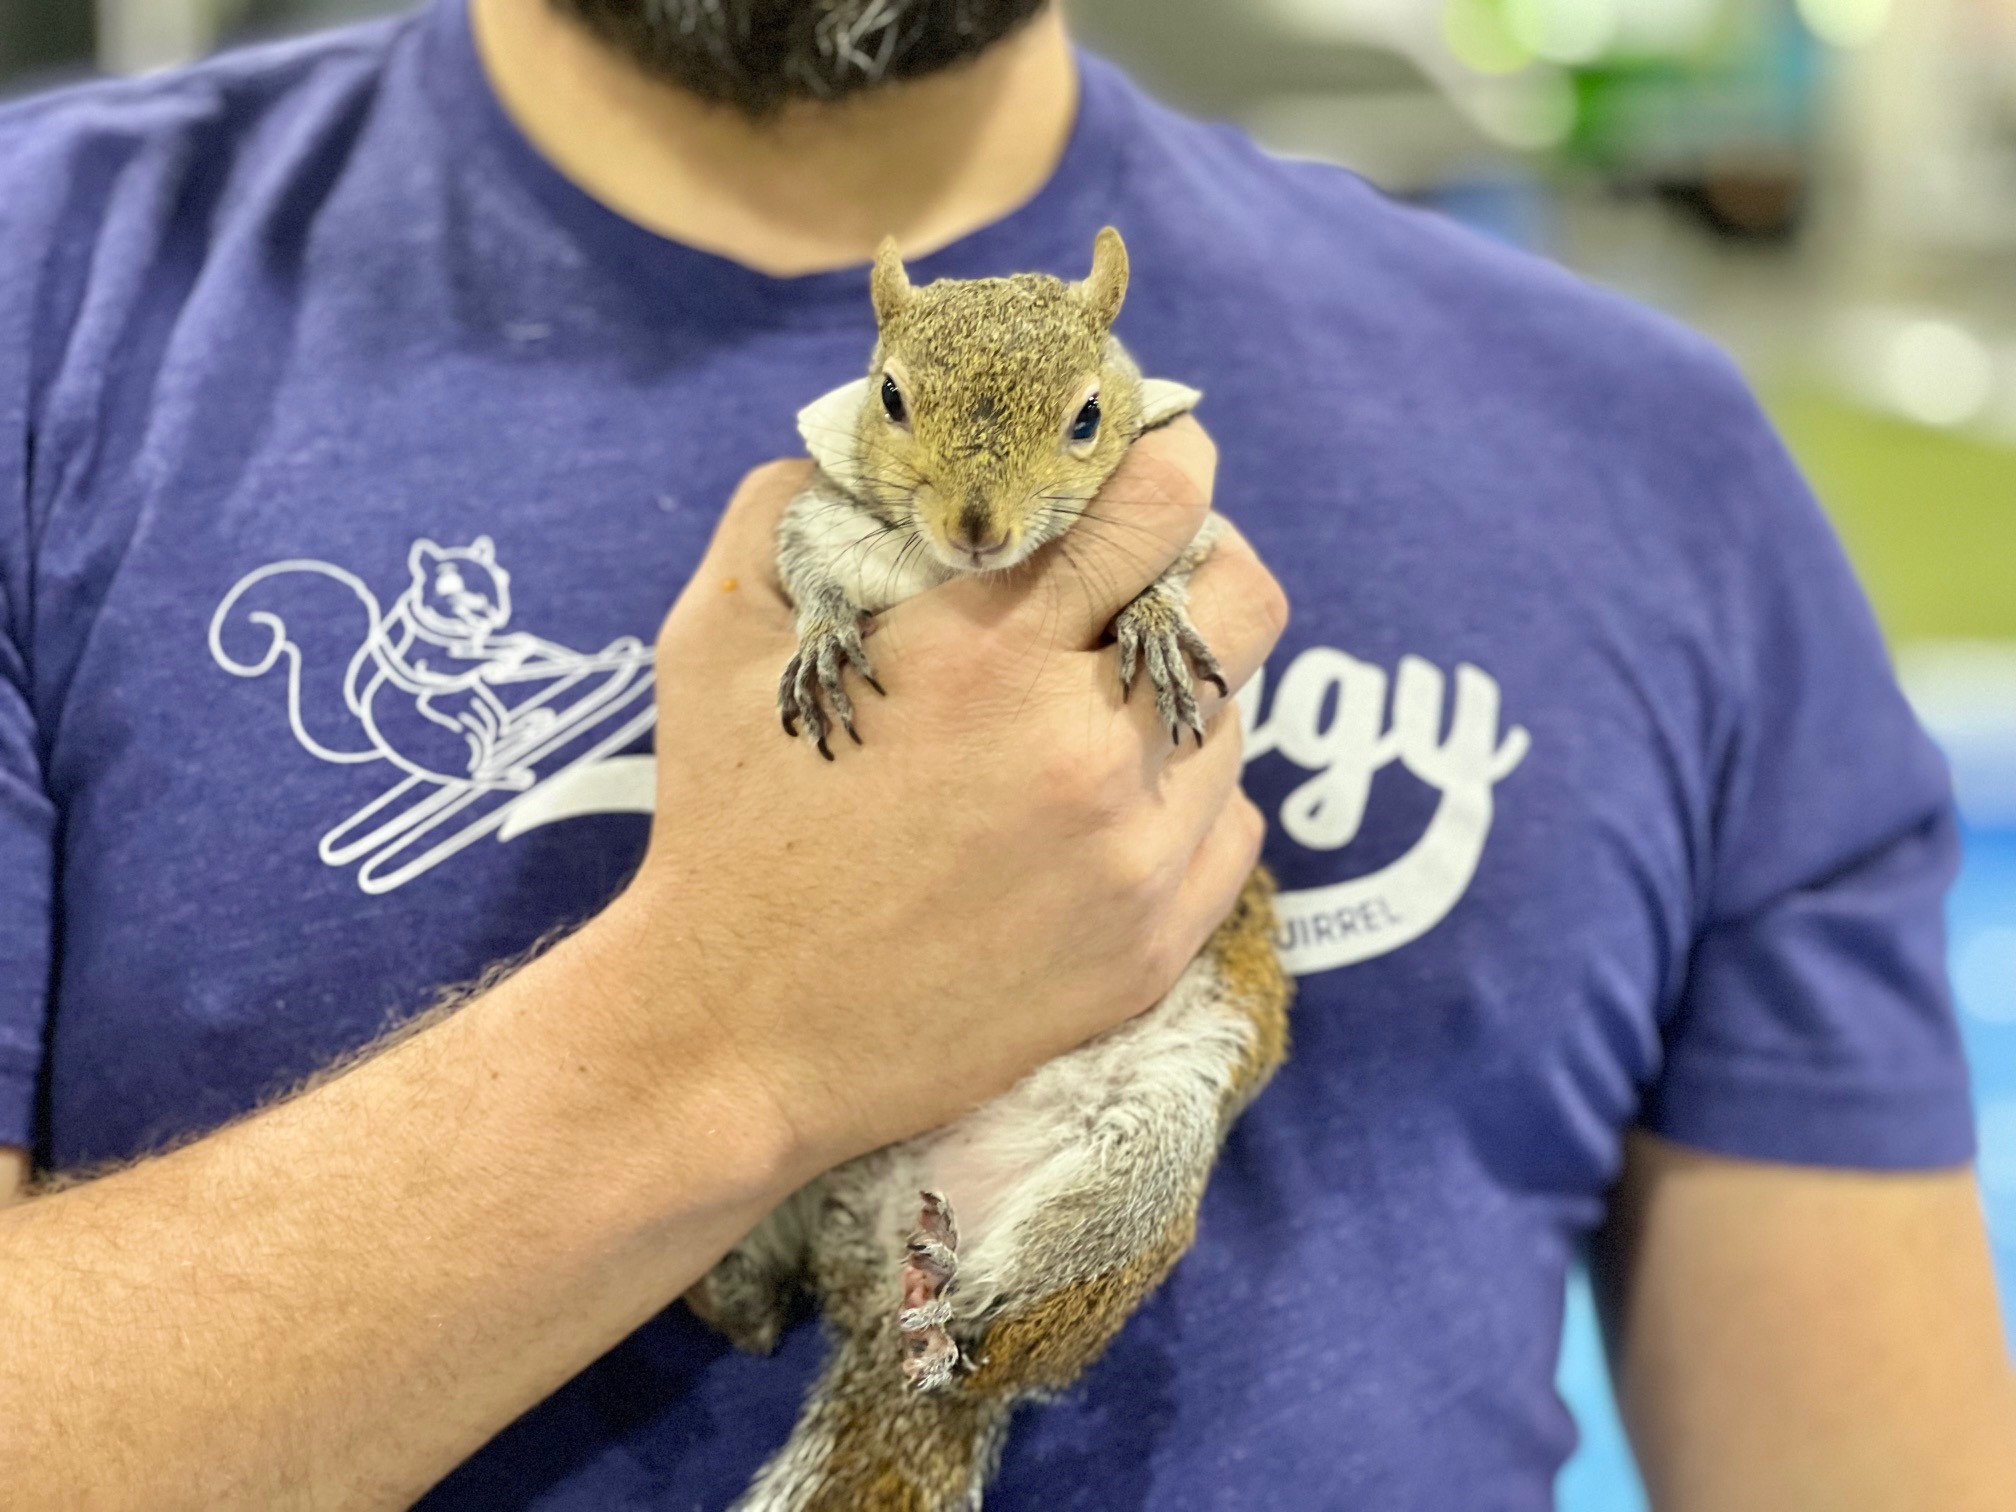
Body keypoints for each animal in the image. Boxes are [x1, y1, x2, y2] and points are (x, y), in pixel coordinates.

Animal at [685, 228, 1292, 1512]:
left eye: (1090, 415)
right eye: (889, 396)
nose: (976, 526)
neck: (960, 581)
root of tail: (874, 1273)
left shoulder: (1193, 530)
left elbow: (1179, 567)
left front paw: (1152, 616)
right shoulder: (822, 523)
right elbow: (809, 567)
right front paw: (821, 636)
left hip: (1135, 1176)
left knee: (1004, 1335)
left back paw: (954, 1302)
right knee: (758, 1313)